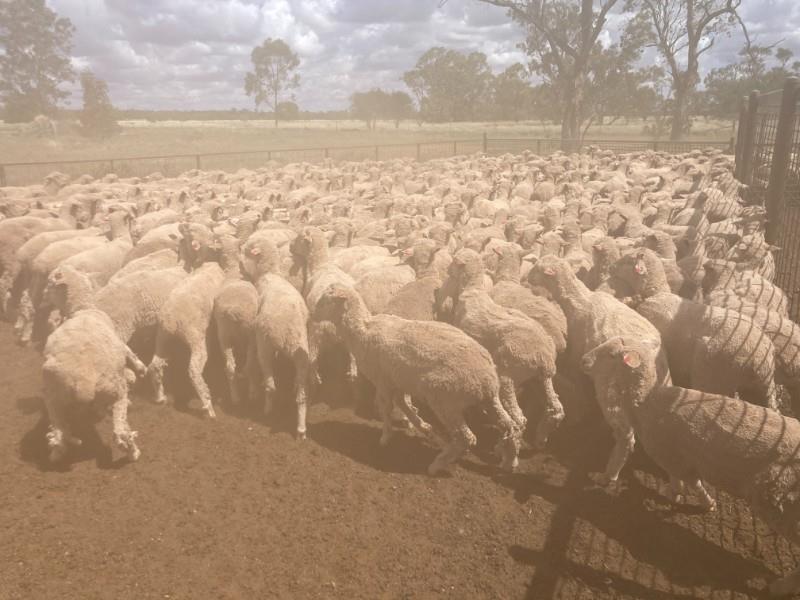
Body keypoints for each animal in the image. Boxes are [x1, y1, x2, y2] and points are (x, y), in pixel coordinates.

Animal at [41, 265, 145, 463]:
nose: (43, 294)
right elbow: (128, 350)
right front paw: (141, 368)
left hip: (54, 400)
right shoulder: (118, 339)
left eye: (50, 283)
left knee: (59, 435)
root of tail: (84, 384)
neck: (83, 308)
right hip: (116, 392)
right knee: (120, 432)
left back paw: (57, 454)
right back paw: (134, 453)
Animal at [311, 283, 521, 474]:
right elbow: (403, 404)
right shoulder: (398, 380)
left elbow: (386, 408)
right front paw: (423, 427)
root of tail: (487, 378)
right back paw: (509, 461)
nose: (312, 316)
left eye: (325, 301)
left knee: (466, 438)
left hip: (445, 400)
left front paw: (386, 436)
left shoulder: (383, 381)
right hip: (488, 400)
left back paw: (437, 464)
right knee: (511, 426)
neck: (362, 331)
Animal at [581, 336, 800, 597]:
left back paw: (780, 587)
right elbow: (690, 482)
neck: (648, 403)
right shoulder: (683, 459)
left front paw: (683, 496)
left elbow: (689, 483)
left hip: (779, 503)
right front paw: (699, 500)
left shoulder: (673, 458)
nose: (584, 361)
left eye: (612, 355)